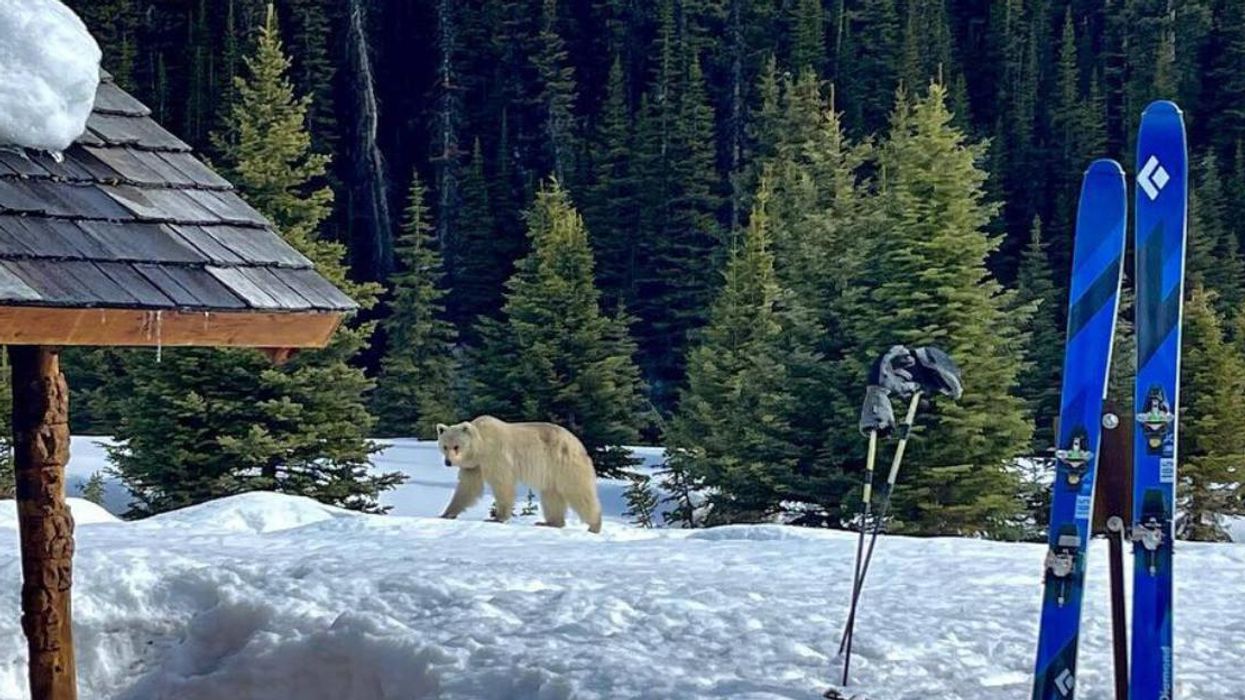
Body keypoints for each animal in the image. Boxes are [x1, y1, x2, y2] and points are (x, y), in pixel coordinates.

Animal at [436, 415, 603, 533]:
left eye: (456, 446)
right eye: (445, 446)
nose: (448, 462)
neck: (480, 447)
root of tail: (578, 443)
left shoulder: (495, 456)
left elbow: (502, 484)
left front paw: (497, 518)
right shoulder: (474, 466)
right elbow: (467, 488)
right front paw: (446, 513)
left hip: (564, 465)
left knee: (578, 491)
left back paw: (594, 526)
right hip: (551, 474)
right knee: (551, 496)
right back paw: (550, 522)